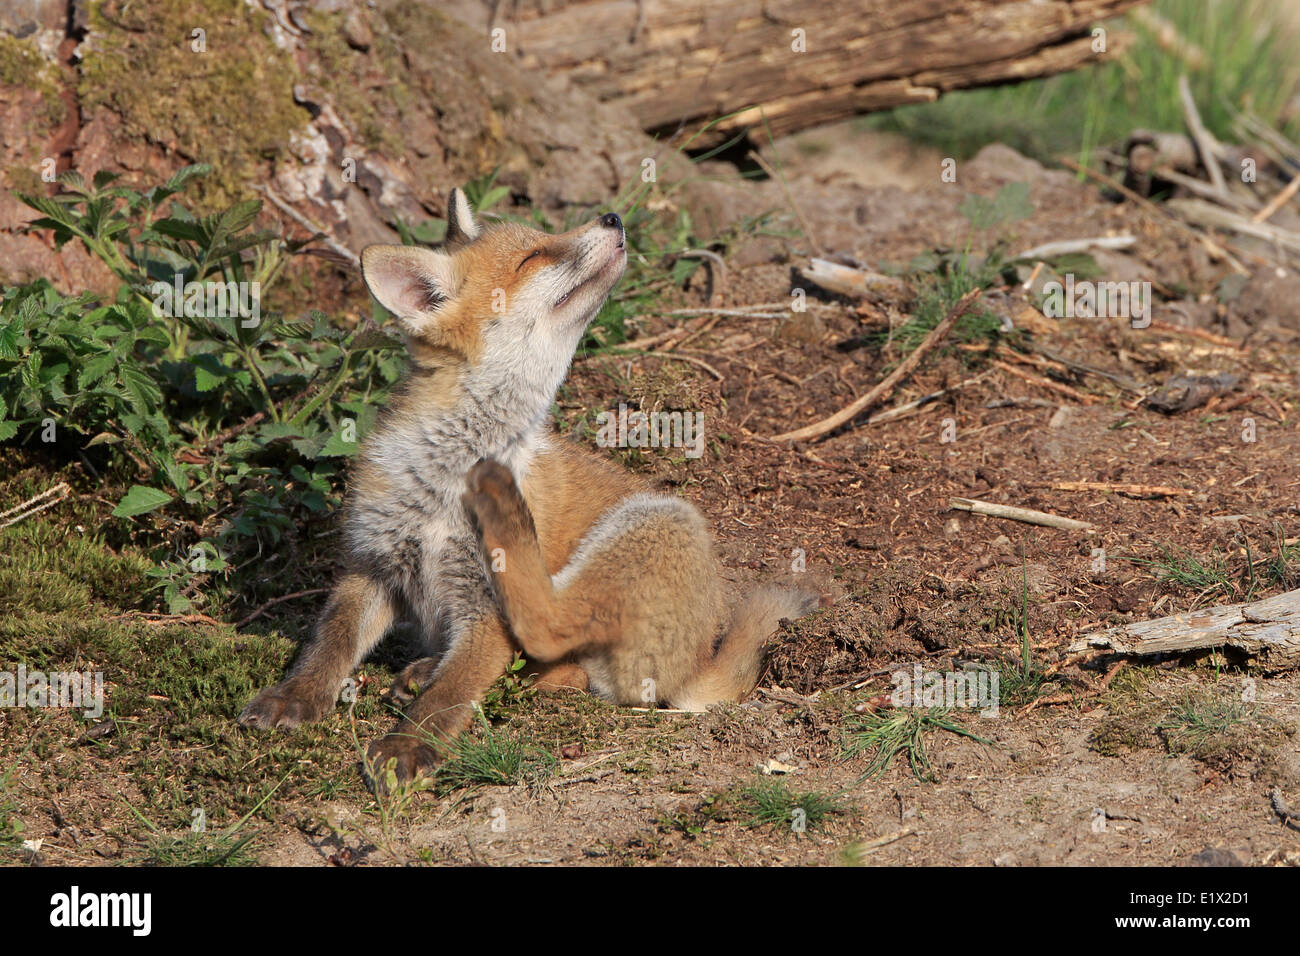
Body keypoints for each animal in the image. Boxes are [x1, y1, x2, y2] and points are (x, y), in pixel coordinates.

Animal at [238, 188, 817, 785]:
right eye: (534, 256)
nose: (614, 217)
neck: (446, 483)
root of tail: (700, 660)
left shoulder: (483, 606)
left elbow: (451, 694)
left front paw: (410, 743)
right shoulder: (372, 565)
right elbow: (327, 643)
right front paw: (296, 696)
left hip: (654, 522)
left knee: (549, 636)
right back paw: (429, 666)